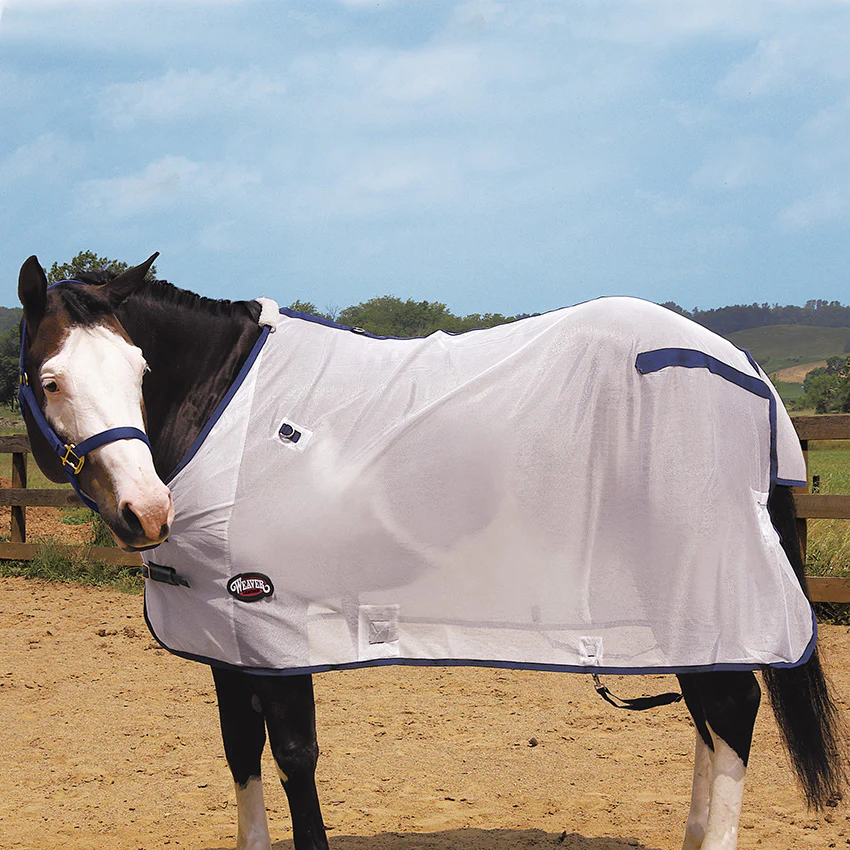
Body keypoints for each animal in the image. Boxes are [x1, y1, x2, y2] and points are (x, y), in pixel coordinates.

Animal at [16, 253, 846, 850]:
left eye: (139, 371)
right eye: (50, 380)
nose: (146, 511)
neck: (230, 406)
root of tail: (744, 369)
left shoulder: (274, 623)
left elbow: (293, 758)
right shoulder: (226, 637)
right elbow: (241, 755)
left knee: (731, 707)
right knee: (709, 710)